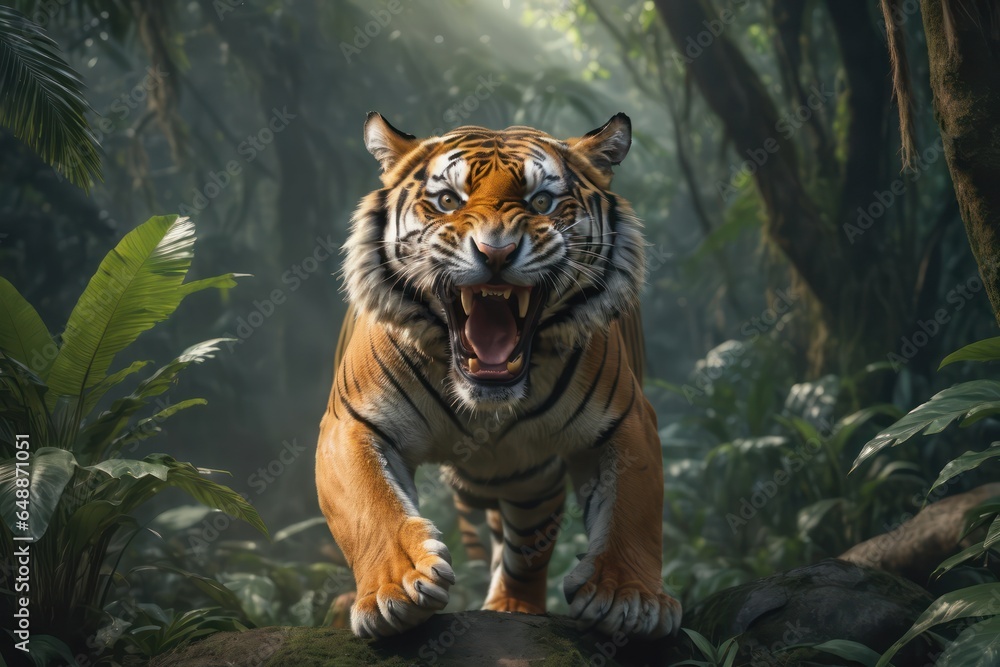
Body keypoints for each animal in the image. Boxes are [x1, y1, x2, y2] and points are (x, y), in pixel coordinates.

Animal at [315, 111, 681, 640]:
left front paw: (627, 596)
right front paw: (397, 589)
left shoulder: (627, 420)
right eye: (448, 200)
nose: (496, 252)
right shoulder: (352, 422)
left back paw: (513, 607)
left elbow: (634, 509)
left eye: (542, 202)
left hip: (531, 481)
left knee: (527, 547)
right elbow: (371, 505)